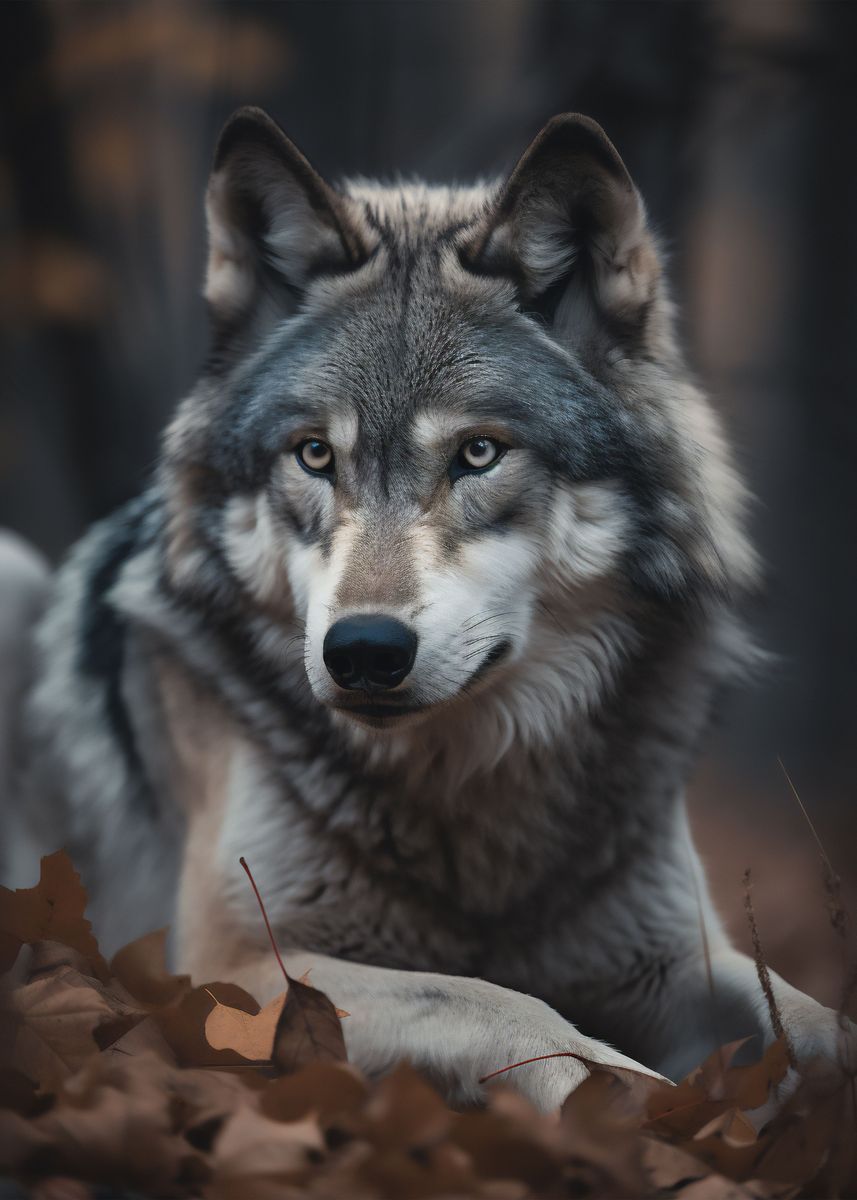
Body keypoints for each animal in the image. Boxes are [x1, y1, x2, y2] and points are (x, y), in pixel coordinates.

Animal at [7, 109, 851, 1111]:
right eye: (314, 455)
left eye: (478, 453)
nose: (363, 650)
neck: (465, 792)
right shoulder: (221, 964)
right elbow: (498, 1002)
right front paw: (630, 1105)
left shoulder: (675, 951)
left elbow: (814, 1020)